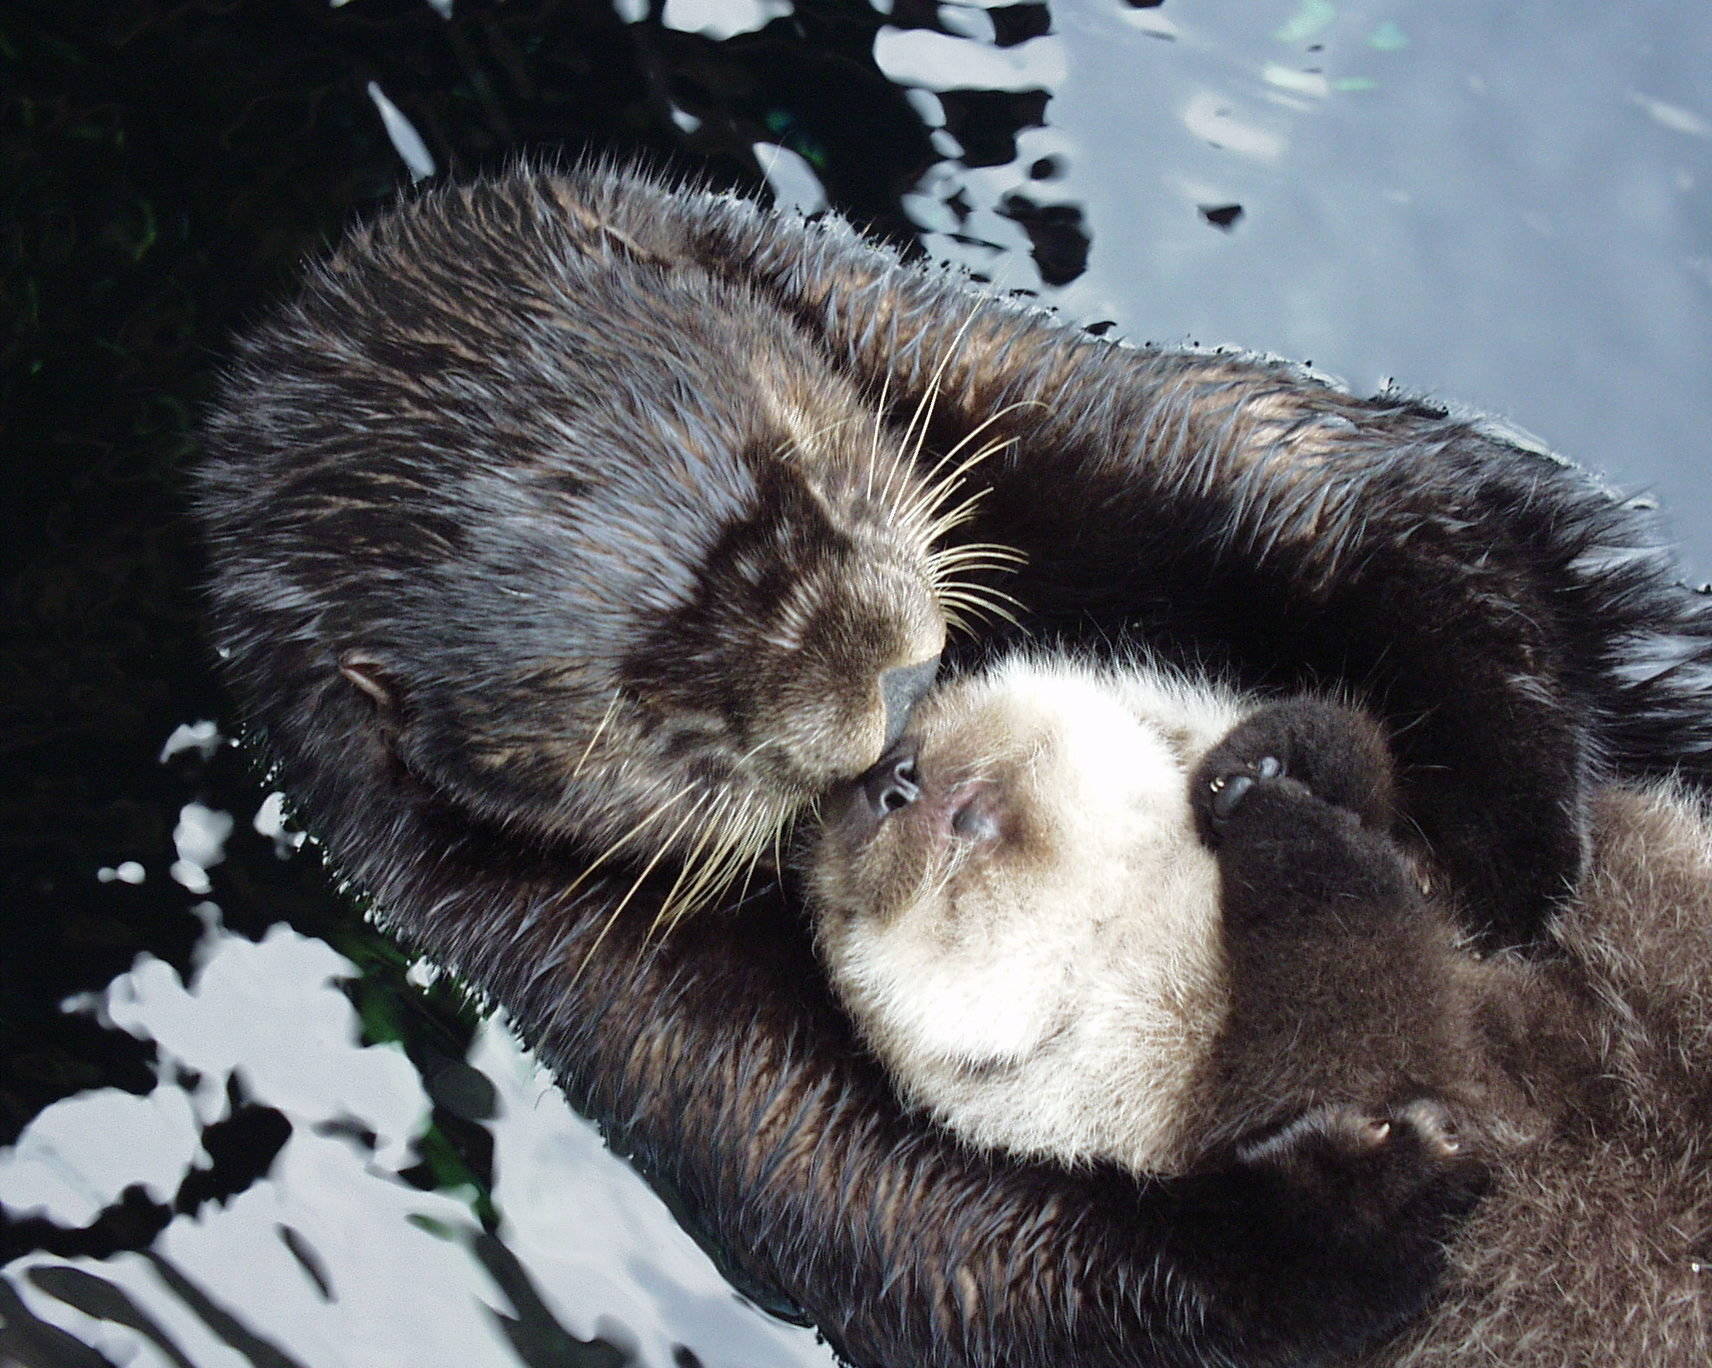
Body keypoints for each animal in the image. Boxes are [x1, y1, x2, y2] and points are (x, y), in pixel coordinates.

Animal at [808, 655, 1712, 1364]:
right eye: (847, 914)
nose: (889, 778)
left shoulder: (1458, 917)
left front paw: (1268, 764)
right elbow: (1314, 1268)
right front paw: (1402, 1157)